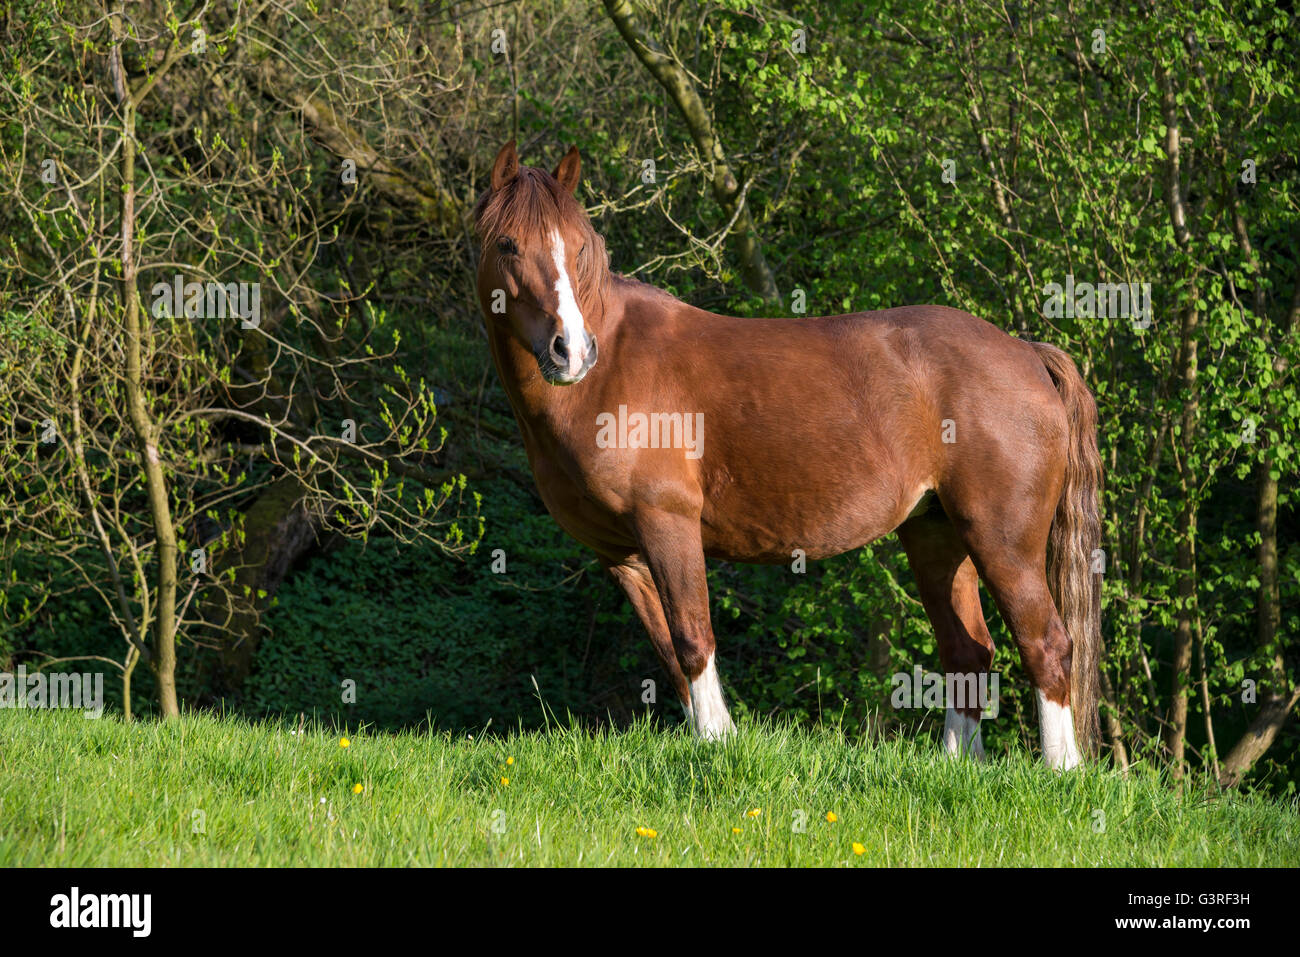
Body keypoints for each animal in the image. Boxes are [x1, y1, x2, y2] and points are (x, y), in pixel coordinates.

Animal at [472, 139, 1102, 769]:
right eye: (507, 245)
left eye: (579, 247)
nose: (572, 352)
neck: (606, 379)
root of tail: (1025, 352)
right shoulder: (623, 556)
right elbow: (669, 652)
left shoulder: (668, 524)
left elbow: (692, 637)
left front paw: (718, 743)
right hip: (937, 534)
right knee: (967, 650)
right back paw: (956, 765)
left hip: (1002, 540)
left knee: (1047, 643)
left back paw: (1060, 769)